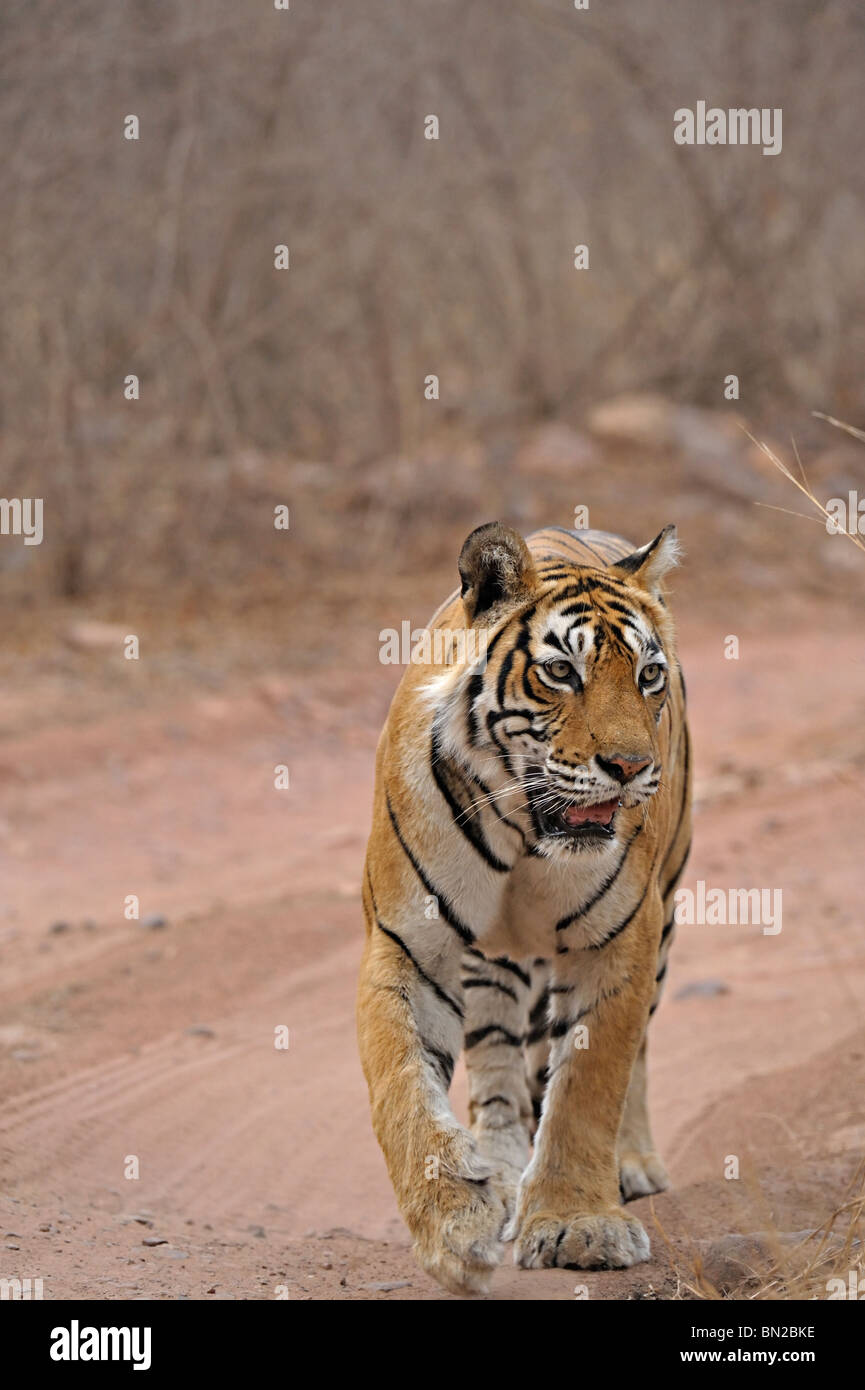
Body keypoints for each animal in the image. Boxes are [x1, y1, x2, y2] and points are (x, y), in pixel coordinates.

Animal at [357, 520, 692, 1295]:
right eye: (562, 672)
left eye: (647, 676)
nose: (630, 768)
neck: (524, 834)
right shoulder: (407, 944)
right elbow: (401, 1089)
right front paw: (455, 1220)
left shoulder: (620, 941)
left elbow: (588, 1090)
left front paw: (579, 1225)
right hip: (493, 966)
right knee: (499, 1067)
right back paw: (504, 1172)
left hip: (663, 920)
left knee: (635, 1058)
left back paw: (630, 1165)